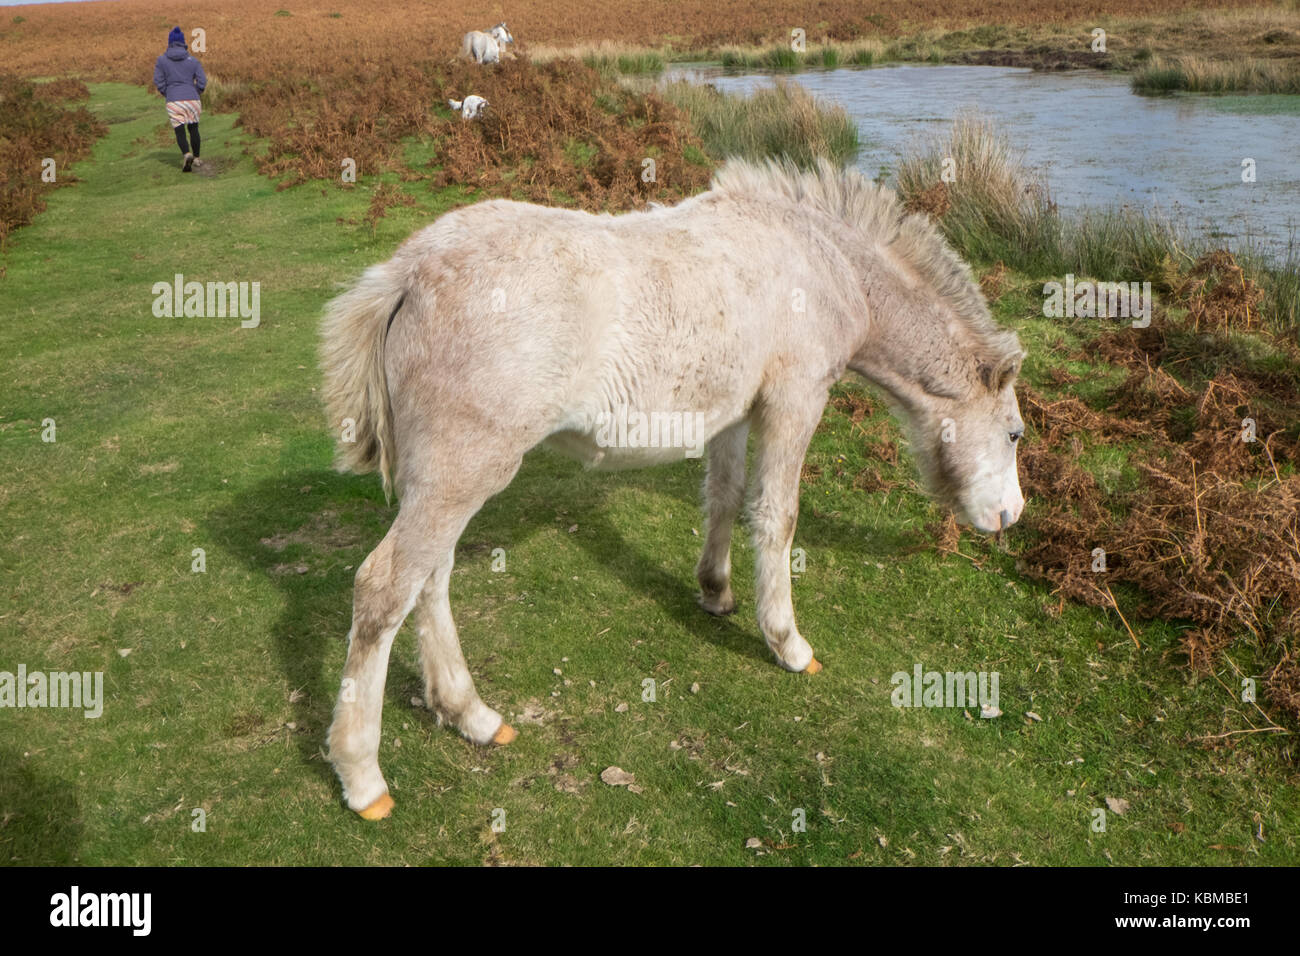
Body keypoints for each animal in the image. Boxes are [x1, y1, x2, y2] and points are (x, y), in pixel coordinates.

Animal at [320, 157, 1026, 819]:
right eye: (1016, 434)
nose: (1010, 516)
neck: (824, 261)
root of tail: (408, 274)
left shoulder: (738, 409)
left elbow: (725, 495)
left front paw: (716, 591)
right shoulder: (796, 400)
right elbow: (777, 516)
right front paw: (788, 643)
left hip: (444, 479)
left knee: (429, 581)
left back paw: (470, 714)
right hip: (463, 471)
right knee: (385, 589)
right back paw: (363, 777)